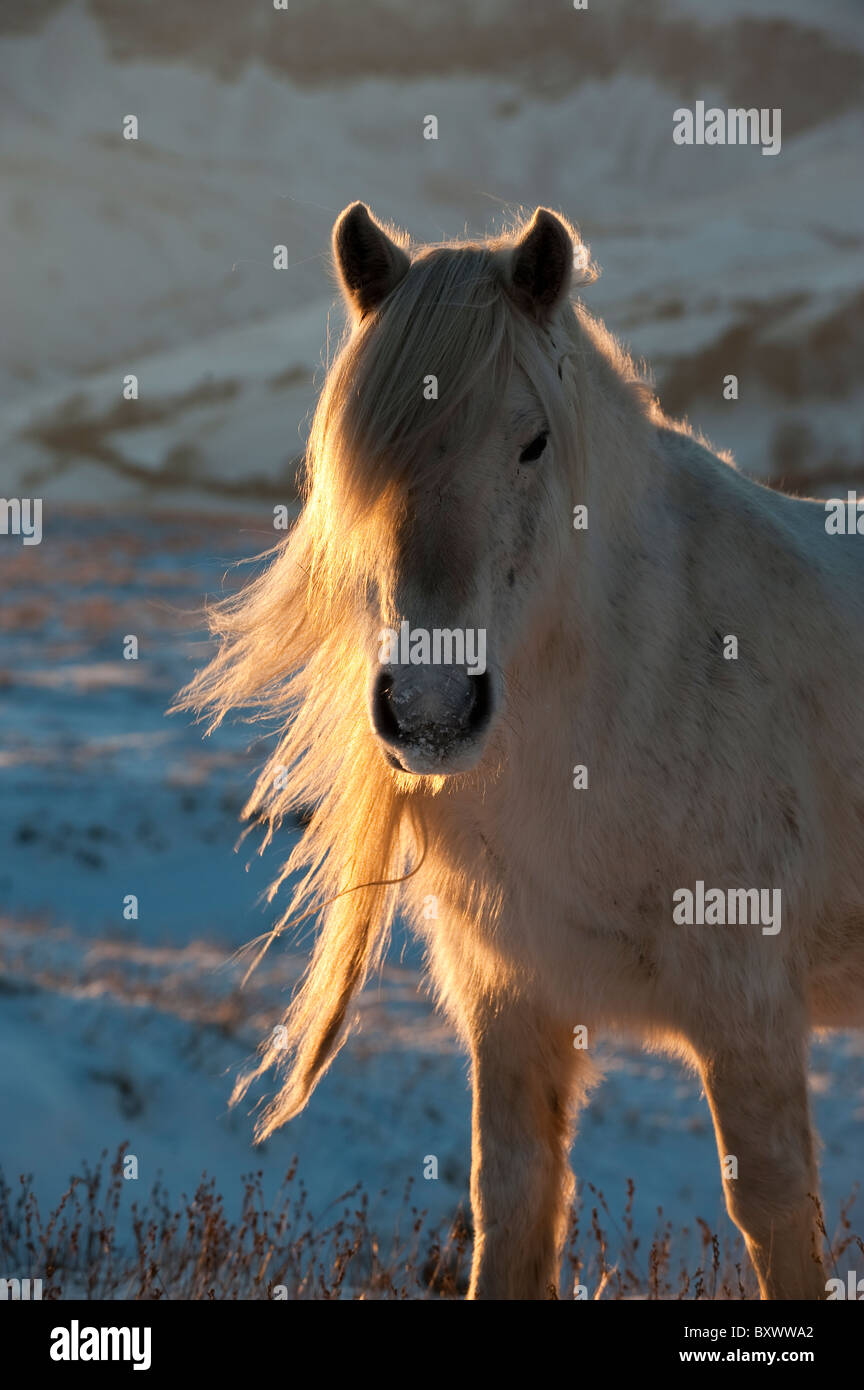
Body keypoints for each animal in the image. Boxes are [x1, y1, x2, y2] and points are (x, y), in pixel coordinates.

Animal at [177, 202, 864, 1300]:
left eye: (533, 442)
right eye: (364, 456)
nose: (430, 709)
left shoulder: (750, 1010)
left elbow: (774, 1219)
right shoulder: (511, 1003)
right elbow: (510, 1210)